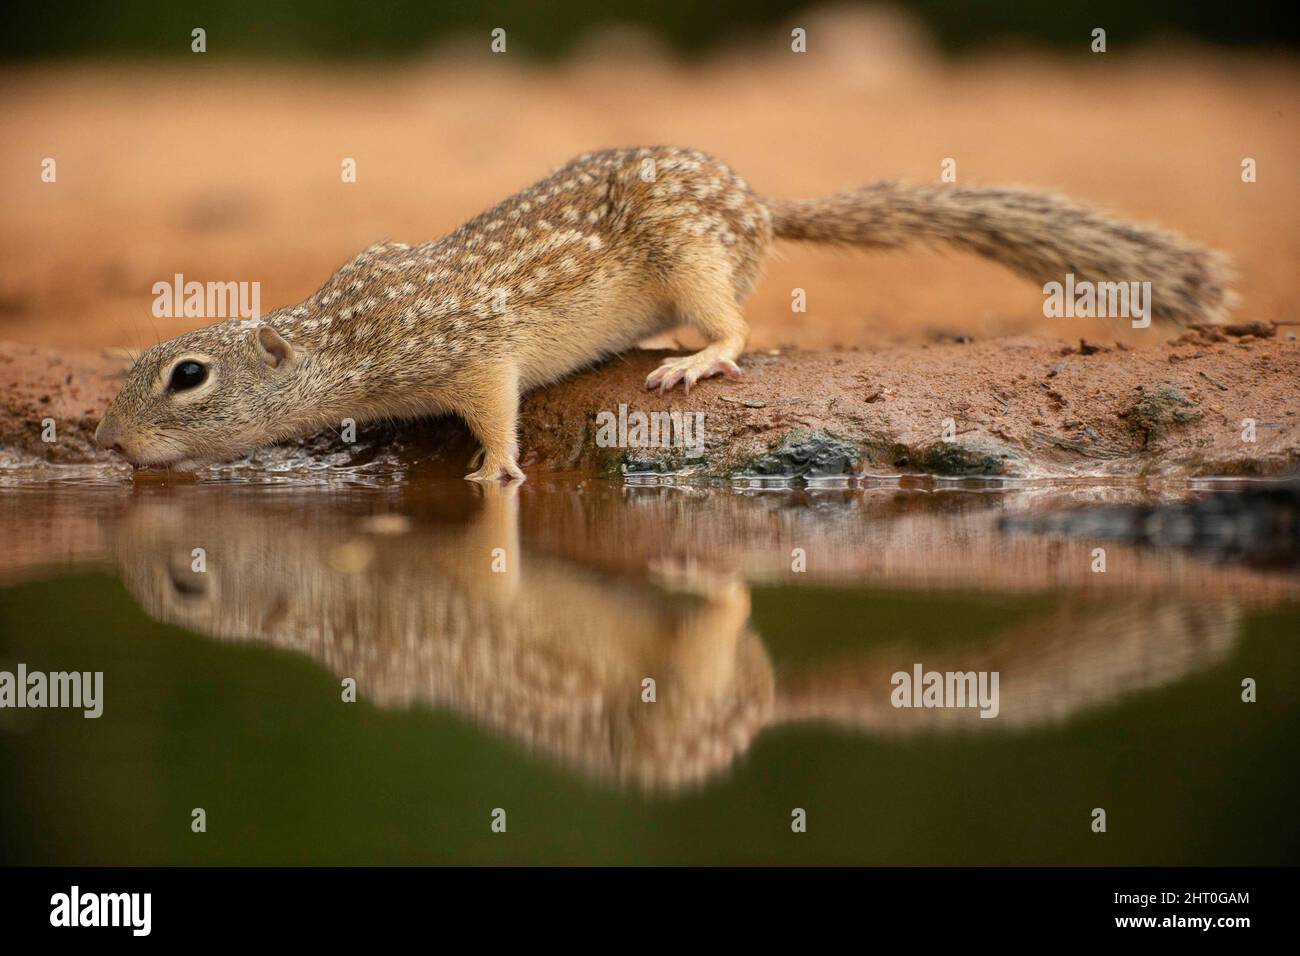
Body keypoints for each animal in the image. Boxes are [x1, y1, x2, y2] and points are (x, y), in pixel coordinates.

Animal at [95, 145, 1233, 480]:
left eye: (187, 375)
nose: (107, 441)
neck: (343, 333)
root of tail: (763, 206)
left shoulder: (472, 352)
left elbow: (496, 406)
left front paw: (493, 472)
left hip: (690, 259)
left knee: (736, 327)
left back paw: (694, 357)